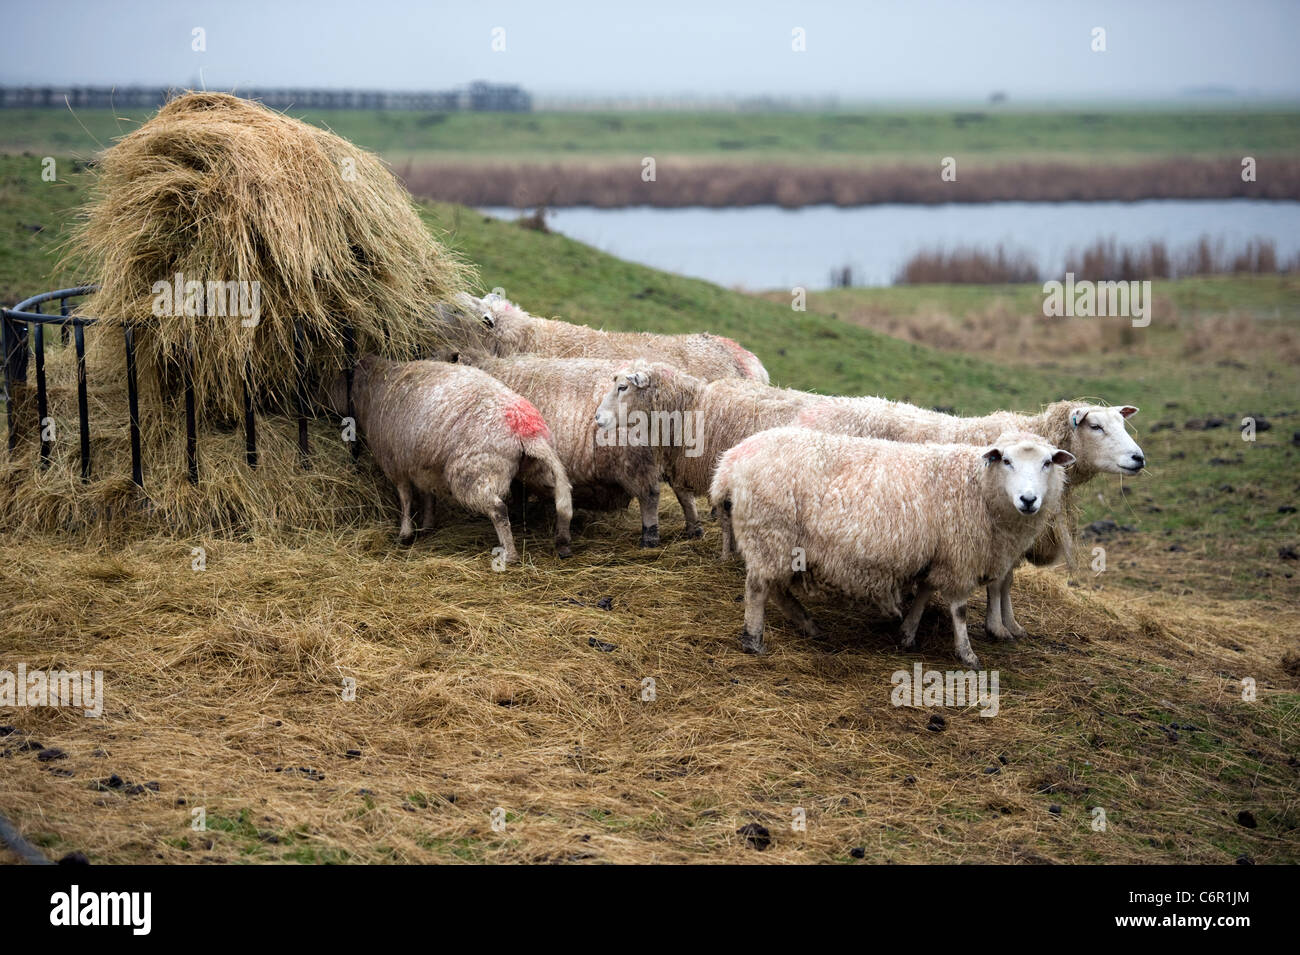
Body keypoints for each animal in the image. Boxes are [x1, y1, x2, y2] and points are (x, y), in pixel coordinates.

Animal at [326, 355, 572, 562]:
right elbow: (427, 495)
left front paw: (405, 533)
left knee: (498, 510)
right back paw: (563, 539)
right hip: (534, 468)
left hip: (474, 473)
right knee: (560, 495)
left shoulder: (396, 463)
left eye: (339, 378)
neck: (373, 391)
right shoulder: (420, 465)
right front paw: (427, 524)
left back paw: (509, 555)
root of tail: (526, 429)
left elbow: (405, 498)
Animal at [453, 352, 693, 547]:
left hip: (633, 462)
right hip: (669, 457)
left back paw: (649, 538)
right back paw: (694, 528)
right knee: (683, 490)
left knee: (650, 496)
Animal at [709, 427, 1075, 667]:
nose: (1028, 499)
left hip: (779, 540)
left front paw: (907, 634)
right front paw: (967, 654)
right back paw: (753, 639)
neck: (978, 486)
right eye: (1006, 461)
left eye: (1047, 463)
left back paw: (808, 625)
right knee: (758, 588)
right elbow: (958, 609)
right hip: (770, 530)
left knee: (777, 588)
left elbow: (925, 592)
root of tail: (730, 462)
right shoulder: (959, 557)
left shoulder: (938, 553)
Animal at [794, 396, 1144, 640]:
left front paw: (1011, 624)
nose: (1139, 458)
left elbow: (1006, 579)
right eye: (1096, 427)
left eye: (1122, 425)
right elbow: (998, 581)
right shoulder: (987, 529)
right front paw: (997, 627)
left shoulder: (1009, 532)